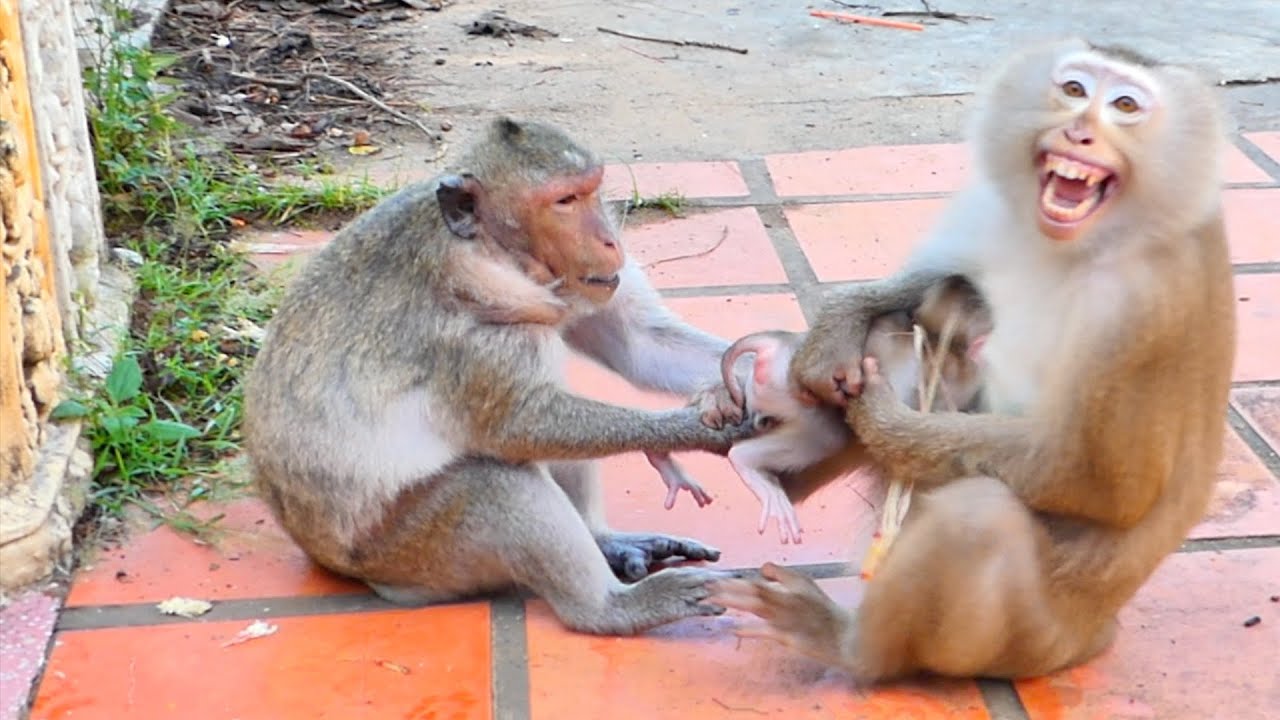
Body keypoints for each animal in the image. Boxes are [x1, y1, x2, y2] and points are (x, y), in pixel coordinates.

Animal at [243, 116, 762, 638]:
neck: (489, 253)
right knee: (497, 481)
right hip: (406, 551)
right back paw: (609, 607)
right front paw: (697, 430)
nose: (611, 241)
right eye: (564, 201)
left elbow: (642, 346)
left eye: (589, 191)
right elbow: (520, 426)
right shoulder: (467, 339)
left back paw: (605, 542)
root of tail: (324, 557)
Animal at [708, 39, 1236, 683]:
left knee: (976, 515)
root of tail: (1095, 635)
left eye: (1126, 105)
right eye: (1075, 90)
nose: (1080, 132)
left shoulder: (1141, 307)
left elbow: (1099, 482)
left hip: (1029, 645)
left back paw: (850, 646)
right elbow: (926, 291)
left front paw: (883, 413)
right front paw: (835, 332)